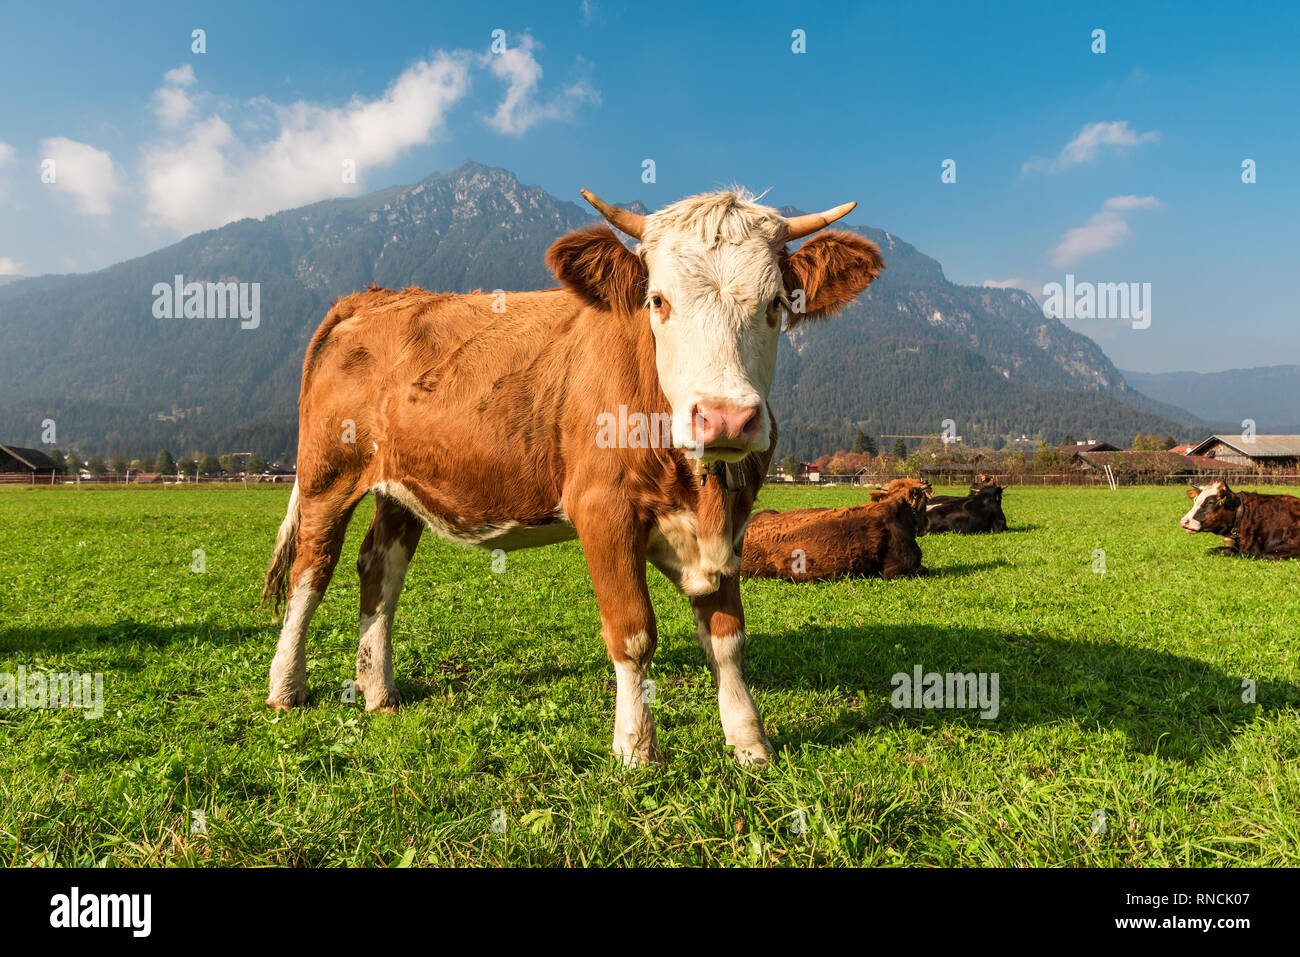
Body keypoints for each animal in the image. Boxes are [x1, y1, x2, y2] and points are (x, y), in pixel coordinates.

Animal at [260, 187, 883, 767]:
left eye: (776, 304)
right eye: (658, 300)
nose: (725, 416)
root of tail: (374, 296)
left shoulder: (730, 526)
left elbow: (727, 637)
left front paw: (750, 743)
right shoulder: (602, 509)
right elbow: (632, 633)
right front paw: (635, 748)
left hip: (402, 488)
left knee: (379, 571)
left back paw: (378, 690)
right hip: (326, 477)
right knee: (311, 573)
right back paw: (286, 687)